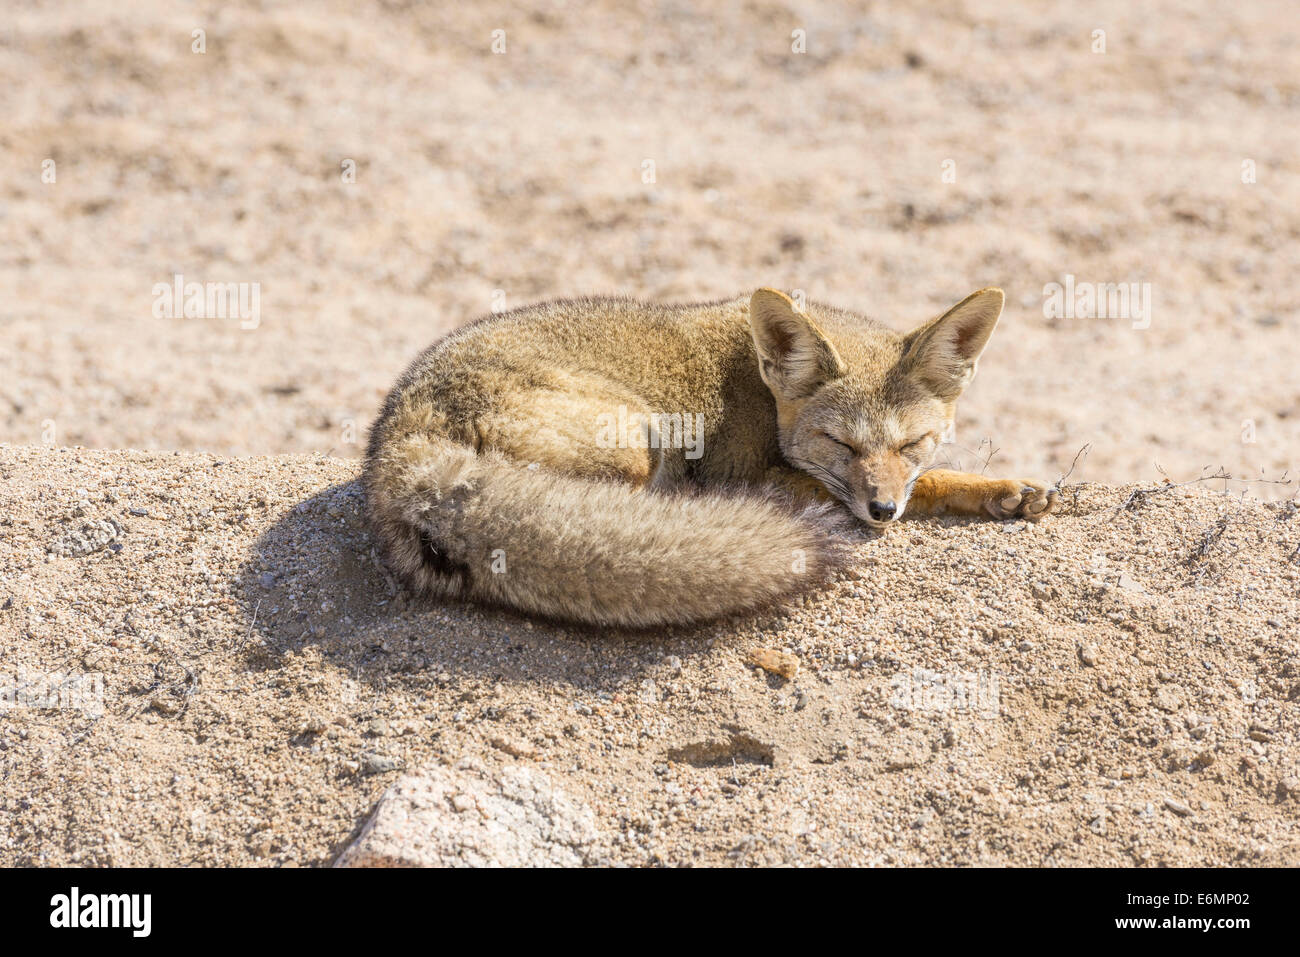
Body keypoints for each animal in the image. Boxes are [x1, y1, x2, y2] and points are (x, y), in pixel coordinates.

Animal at [363, 286, 1059, 628]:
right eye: (841, 444)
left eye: (909, 442)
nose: (883, 510)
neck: (760, 382)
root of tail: (400, 438)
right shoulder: (750, 470)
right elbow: (903, 487)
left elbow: (933, 477)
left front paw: (1001, 489)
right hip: (641, 439)